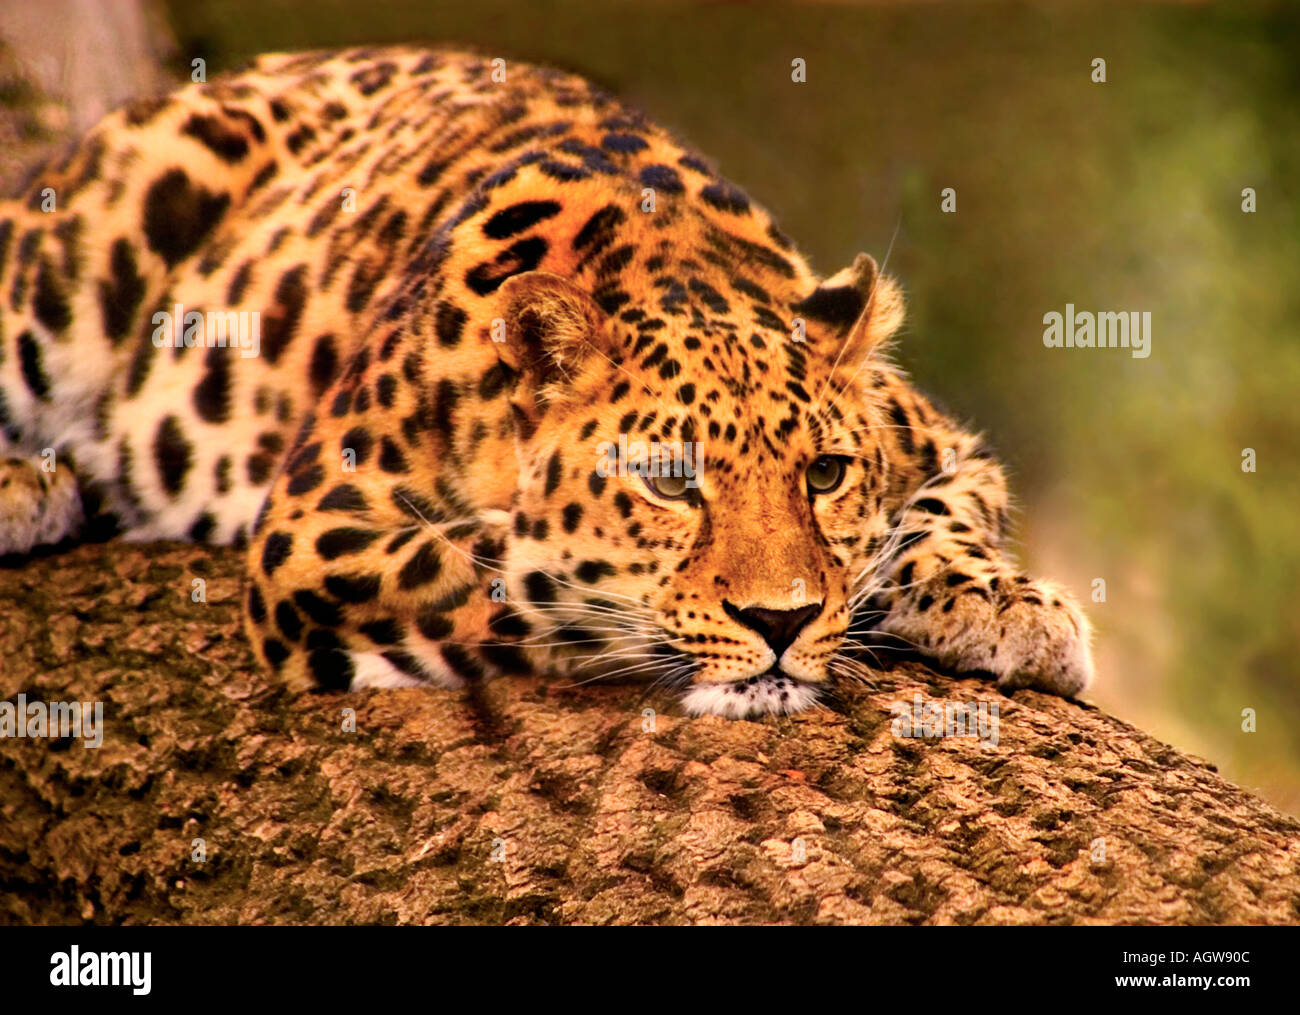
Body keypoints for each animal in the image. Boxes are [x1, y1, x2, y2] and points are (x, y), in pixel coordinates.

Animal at [0, 46, 1093, 719]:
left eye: (823, 475)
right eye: (669, 481)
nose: (779, 622)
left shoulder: (946, 442)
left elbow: (938, 517)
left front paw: (1009, 605)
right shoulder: (312, 525)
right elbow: (495, 566)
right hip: (103, 226)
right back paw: (27, 483)